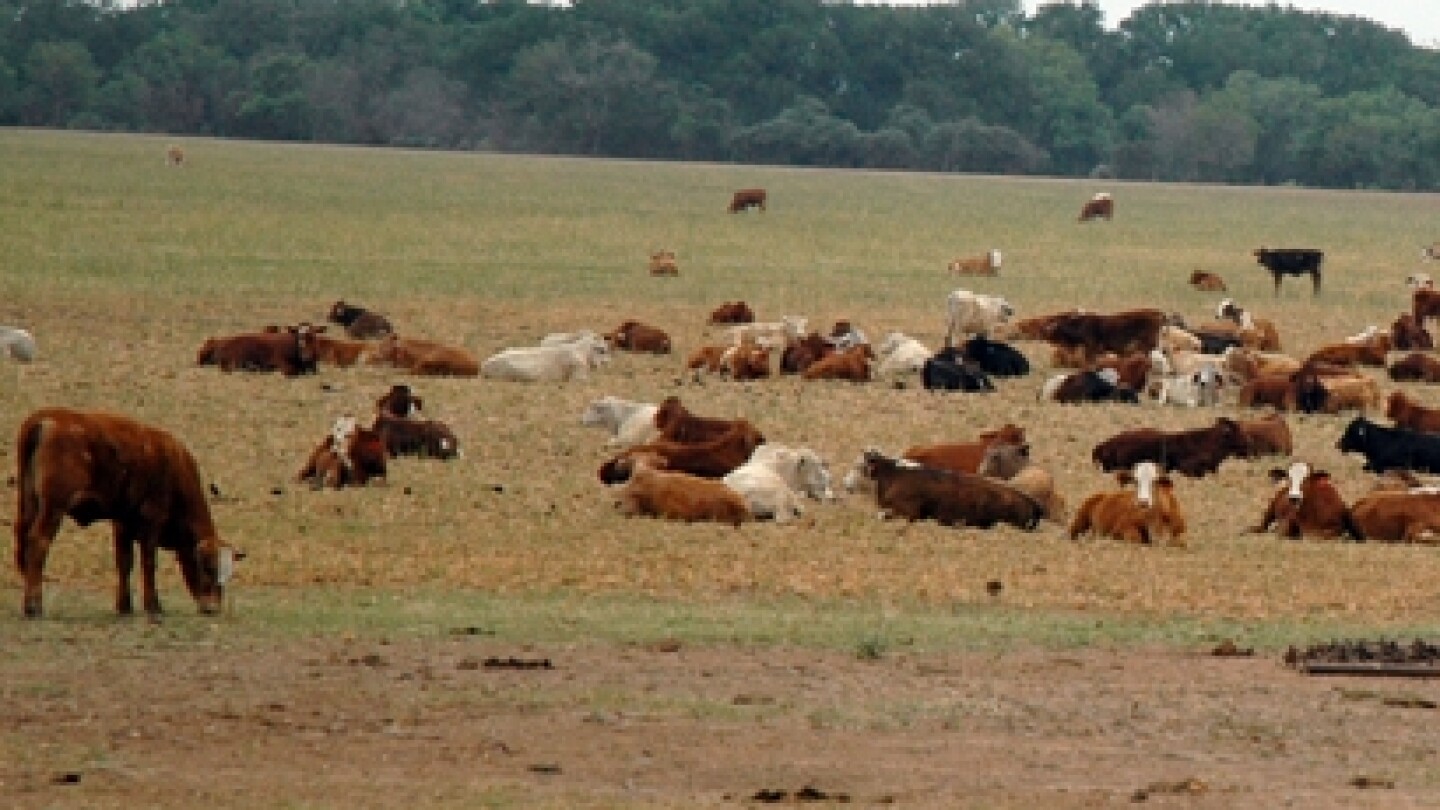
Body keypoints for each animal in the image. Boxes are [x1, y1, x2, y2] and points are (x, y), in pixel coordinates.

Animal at [14, 408, 236, 617]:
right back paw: (34, 606)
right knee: (38, 542)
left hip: (30, 504)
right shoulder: (152, 522)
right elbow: (148, 564)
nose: (213, 608)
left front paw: (124, 606)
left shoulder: (122, 524)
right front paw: (153, 606)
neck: (174, 466)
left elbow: (124, 562)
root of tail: (46, 417)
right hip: (53, 508)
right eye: (209, 568)